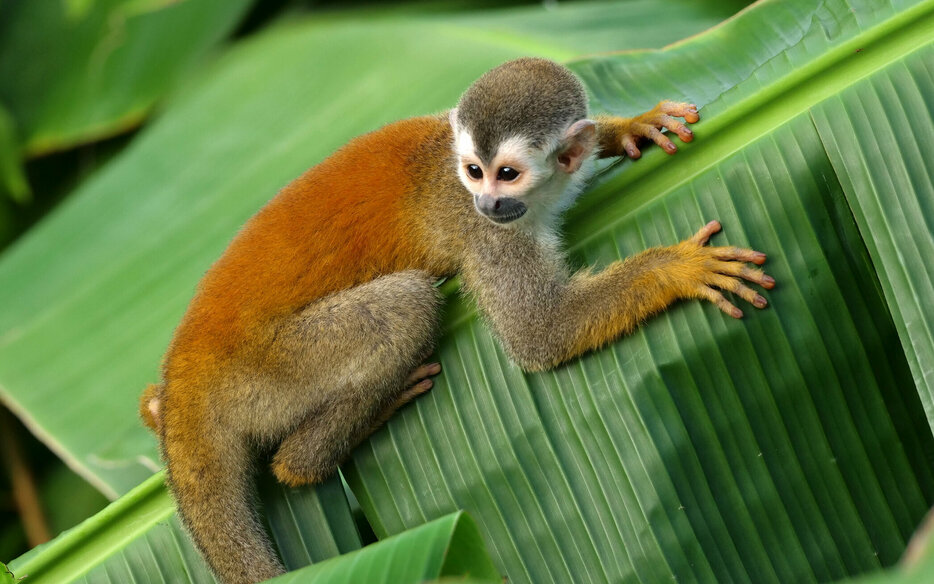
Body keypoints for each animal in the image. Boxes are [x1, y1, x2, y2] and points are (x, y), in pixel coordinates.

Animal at [140, 57, 774, 583]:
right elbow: (540, 334)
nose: (488, 202)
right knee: (407, 307)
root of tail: (188, 364)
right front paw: (678, 269)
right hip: (268, 370)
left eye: (506, 174)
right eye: (474, 171)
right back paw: (325, 447)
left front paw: (629, 126)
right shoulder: (482, 233)